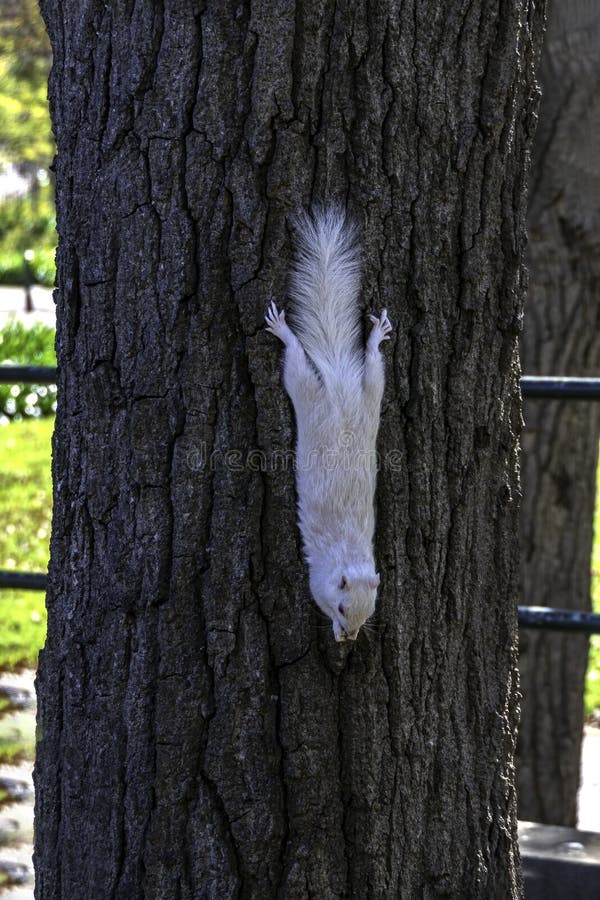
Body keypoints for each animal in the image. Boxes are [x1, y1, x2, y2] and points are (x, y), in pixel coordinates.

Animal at [266, 208, 392, 642]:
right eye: (340, 606)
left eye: (371, 611)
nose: (350, 636)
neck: (349, 554)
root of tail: (339, 384)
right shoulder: (316, 578)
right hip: (305, 389)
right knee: (295, 361)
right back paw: (283, 331)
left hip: (372, 394)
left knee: (373, 364)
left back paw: (376, 336)